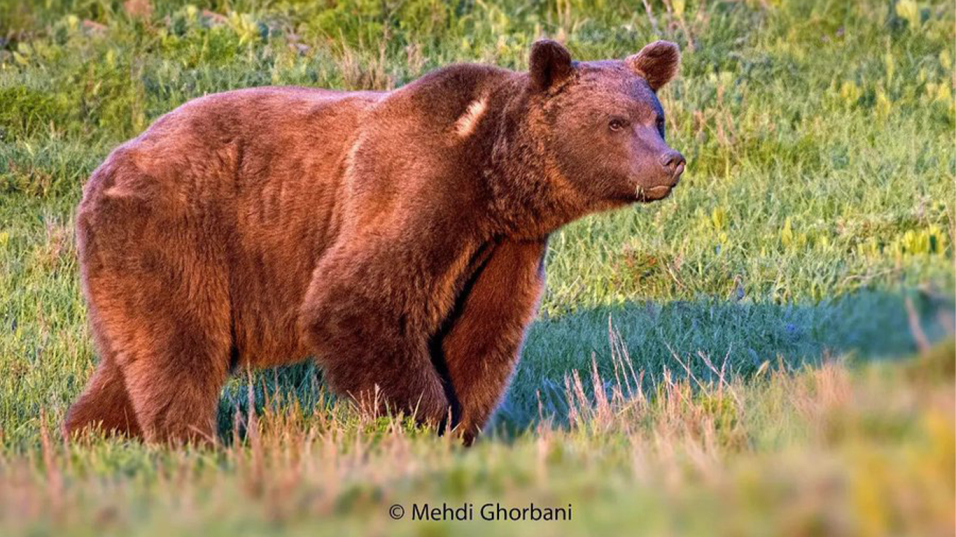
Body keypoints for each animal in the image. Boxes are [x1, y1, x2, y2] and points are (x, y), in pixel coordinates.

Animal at [64, 39, 685, 444]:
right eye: (615, 122)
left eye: (655, 117)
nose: (670, 162)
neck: (495, 181)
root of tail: (106, 166)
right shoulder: (417, 187)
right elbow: (358, 300)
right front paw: (426, 420)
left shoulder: (504, 247)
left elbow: (482, 333)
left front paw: (463, 422)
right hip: (178, 234)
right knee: (181, 346)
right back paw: (189, 442)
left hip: (127, 258)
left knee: (130, 356)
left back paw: (95, 435)